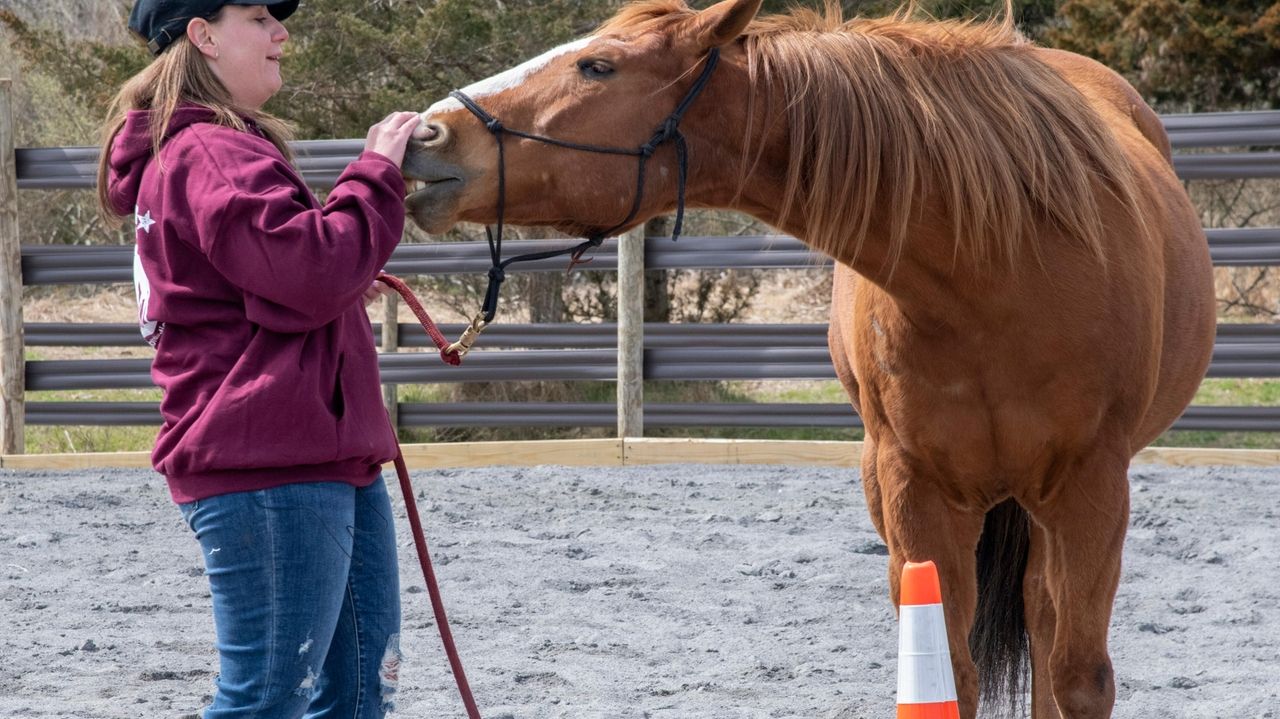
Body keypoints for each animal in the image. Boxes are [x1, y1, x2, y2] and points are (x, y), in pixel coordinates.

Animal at [400, 1, 1217, 716]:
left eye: (597, 65)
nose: (424, 133)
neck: (1000, 264)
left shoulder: (1091, 494)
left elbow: (1078, 681)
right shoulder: (913, 492)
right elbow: (950, 674)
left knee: (1048, 631)